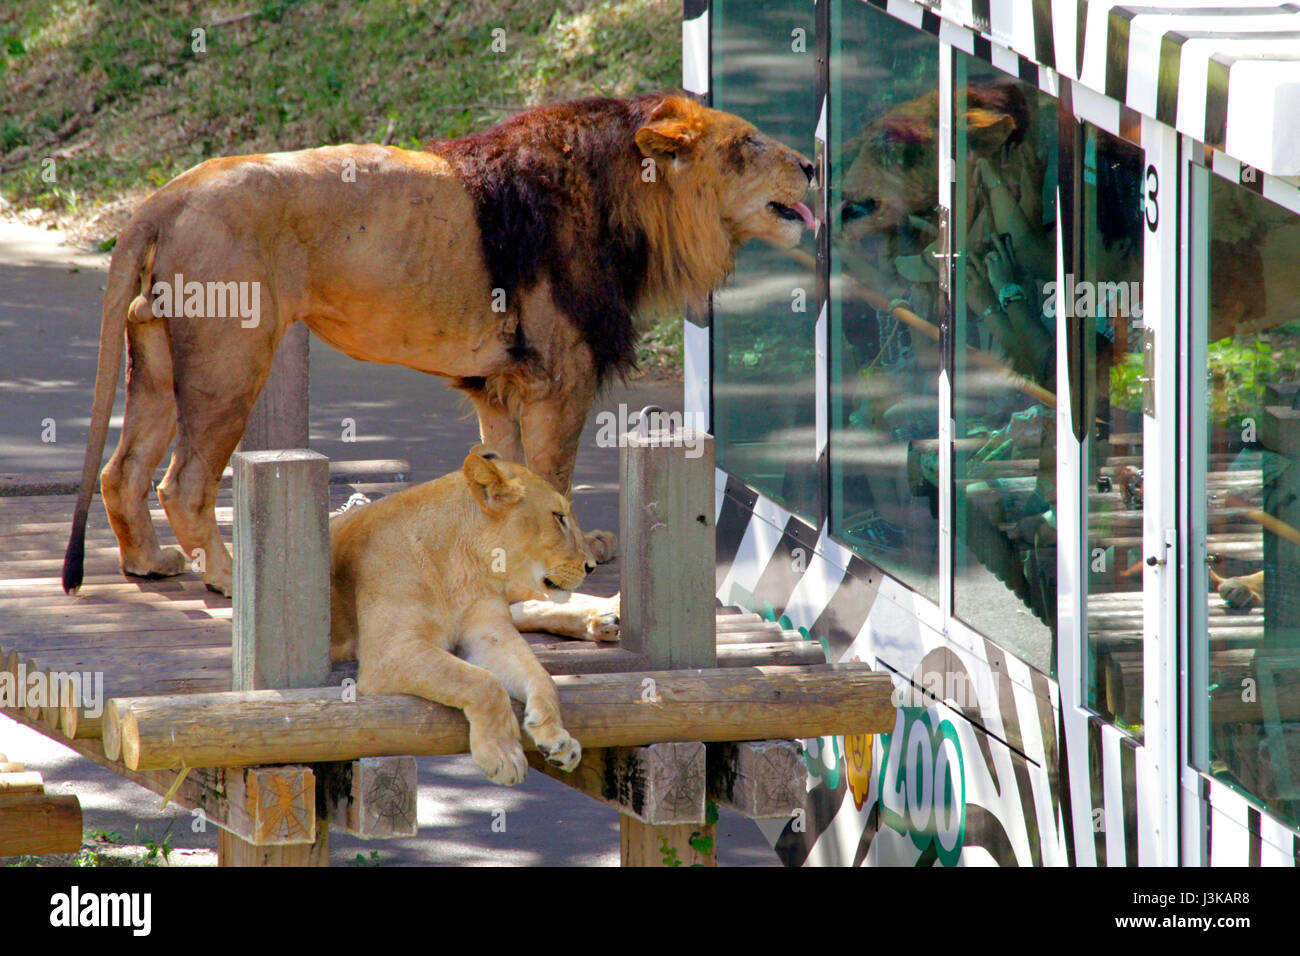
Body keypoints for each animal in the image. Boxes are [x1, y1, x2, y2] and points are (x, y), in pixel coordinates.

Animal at [62, 92, 814, 597]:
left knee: (122, 470)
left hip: (160, 362)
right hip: (230, 361)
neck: (631, 197)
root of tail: (165, 197)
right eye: (747, 144)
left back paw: (147, 563)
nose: (810, 164)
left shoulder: (504, 386)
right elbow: (556, 474)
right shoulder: (559, 377)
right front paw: (578, 549)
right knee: (183, 481)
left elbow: (513, 472)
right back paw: (224, 574)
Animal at [330, 450, 621, 785]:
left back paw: (605, 618)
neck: (464, 564)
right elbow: (482, 681)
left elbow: (541, 677)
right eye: (558, 517)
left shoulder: (490, 633)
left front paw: (556, 736)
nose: (591, 566)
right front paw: (502, 753)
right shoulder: (388, 653)